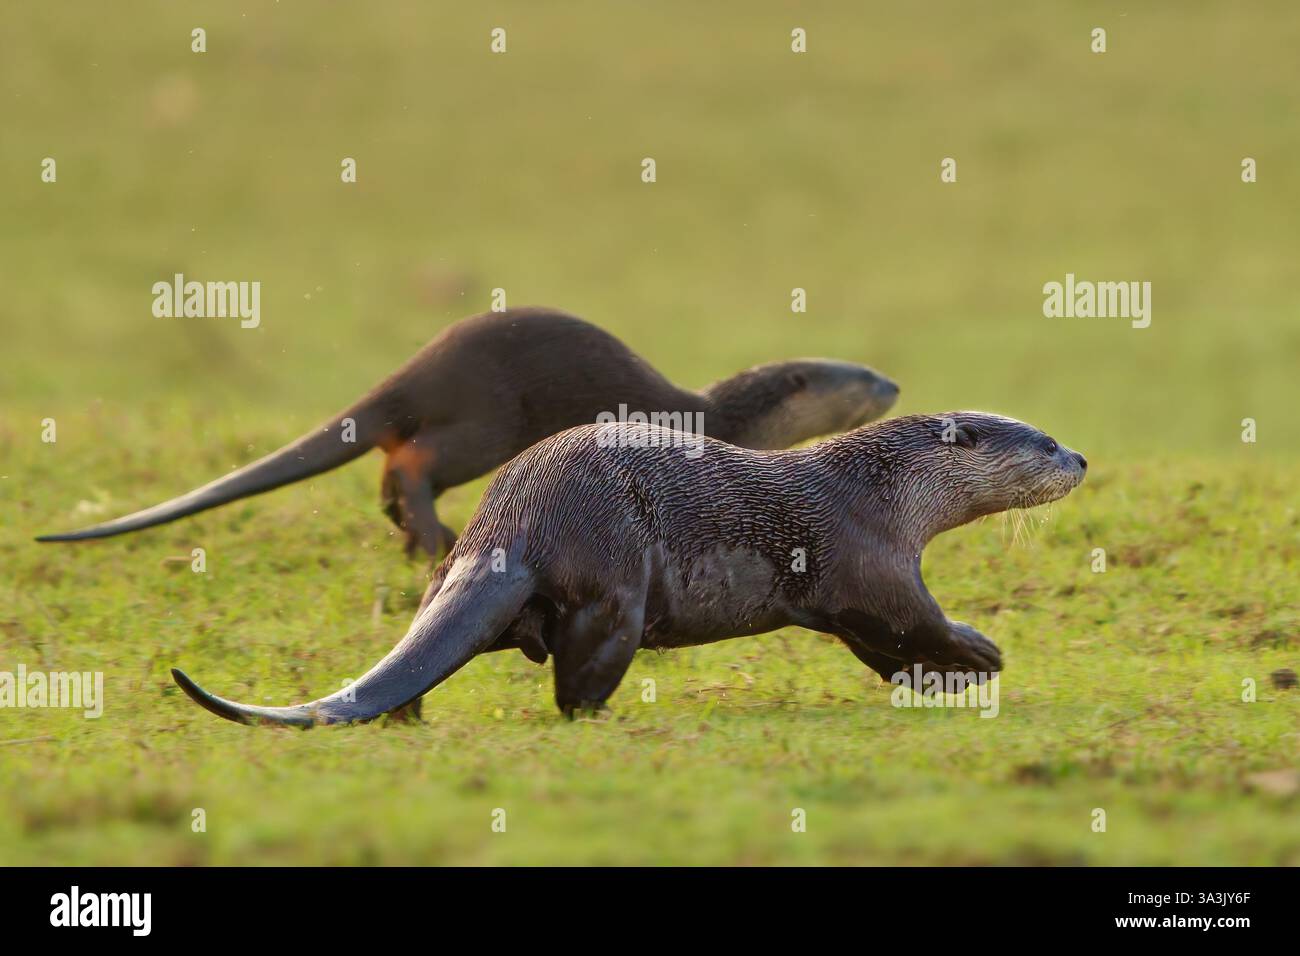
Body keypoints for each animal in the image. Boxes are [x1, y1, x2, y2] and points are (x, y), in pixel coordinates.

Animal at [36, 308, 898, 557]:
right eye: (860, 377)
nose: (894, 383)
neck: (717, 412)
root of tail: (414, 371)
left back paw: (409, 532)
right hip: (487, 419)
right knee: (413, 459)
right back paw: (432, 535)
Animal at [171, 411, 1087, 726]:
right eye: (1041, 439)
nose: (1080, 456)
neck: (882, 488)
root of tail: (514, 520)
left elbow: (886, 649)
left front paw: (951, 678)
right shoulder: (872, 559)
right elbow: (911, 622)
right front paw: (984, 652)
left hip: (456, 578)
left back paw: (406, 718)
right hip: (613, 587)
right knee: (578, 682)